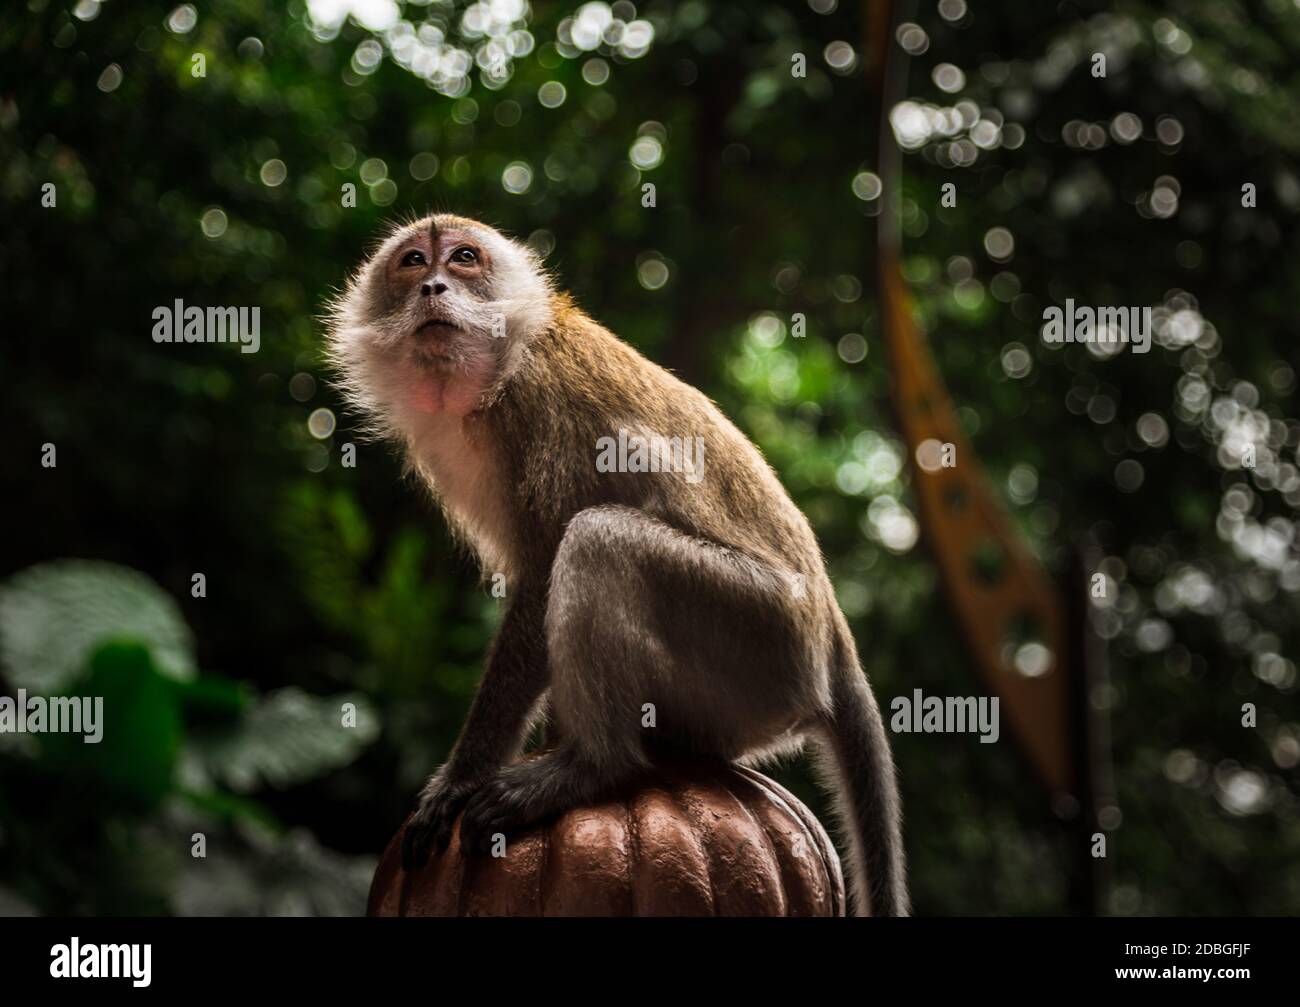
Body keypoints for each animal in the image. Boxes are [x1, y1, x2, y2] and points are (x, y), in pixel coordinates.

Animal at [325, 213, 909, 916]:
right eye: (413, 262)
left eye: (463, 258)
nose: (434, 286)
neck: (497, 373)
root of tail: (833, 638)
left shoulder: (540, 405)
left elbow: (545, 572)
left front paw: (461, 778)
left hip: (762, 643)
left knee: (599, 541)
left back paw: (594, 767)